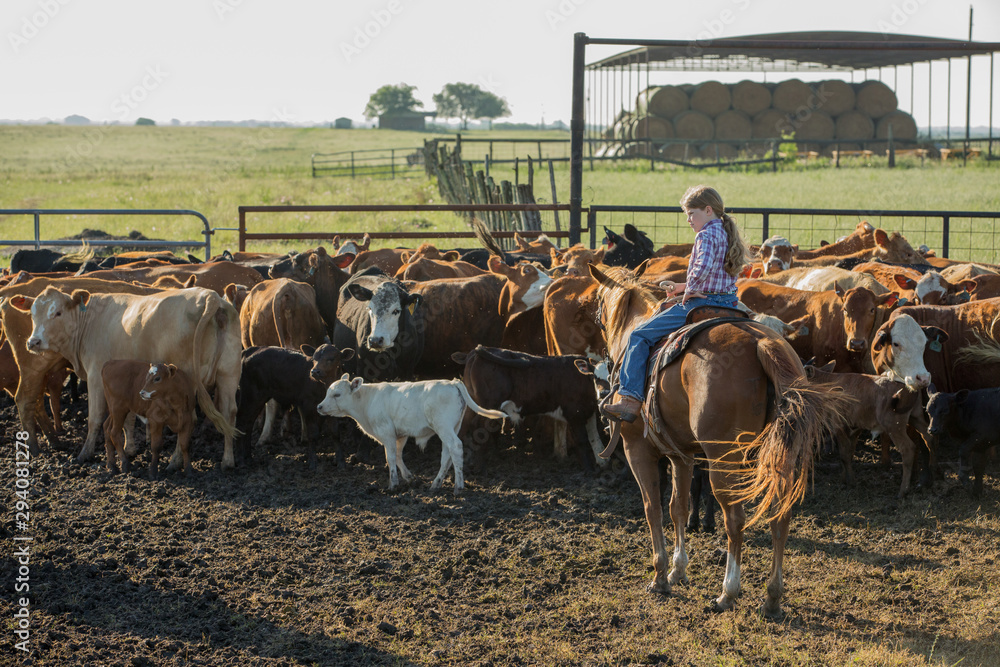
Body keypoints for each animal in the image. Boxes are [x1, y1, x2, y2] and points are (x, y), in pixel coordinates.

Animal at [11, 285, 241, 468]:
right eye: (32, 314)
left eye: (57, 313)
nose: (33, 342)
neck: (89, 321)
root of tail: (211, 296)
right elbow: (129, 418)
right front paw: (129, 449)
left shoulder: (96, 376)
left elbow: (94, 418)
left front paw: (85, 454)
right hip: (228, 374)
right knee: (229, 412)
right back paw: (228, 461)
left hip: (188, 381)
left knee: (189, 418)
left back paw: (175, 462)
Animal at [317, 375, 507, 491]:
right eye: (327, 392)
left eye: (337, 394)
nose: (319, 406)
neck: (367, 401)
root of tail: (452, 382)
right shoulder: (400, 435)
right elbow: (398, 455)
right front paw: (408, 477)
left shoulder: (387, 433)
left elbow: (390, 458)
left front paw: (393, 484)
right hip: (452, 427)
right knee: (447, 454)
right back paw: (436, 484)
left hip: (444, 426)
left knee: (456, 447)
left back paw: (458, 486)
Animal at [451, 346, 607, 469]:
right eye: (595, 376)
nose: (604, 393)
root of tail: (475, 354)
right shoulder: (575, 413)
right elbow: (582, 440)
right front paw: (588, 468)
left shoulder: (588, 411)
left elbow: (594, 438)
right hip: (488, 405)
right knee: (480, 426)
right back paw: (480, 466)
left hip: (472, 403)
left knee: (463, 426)